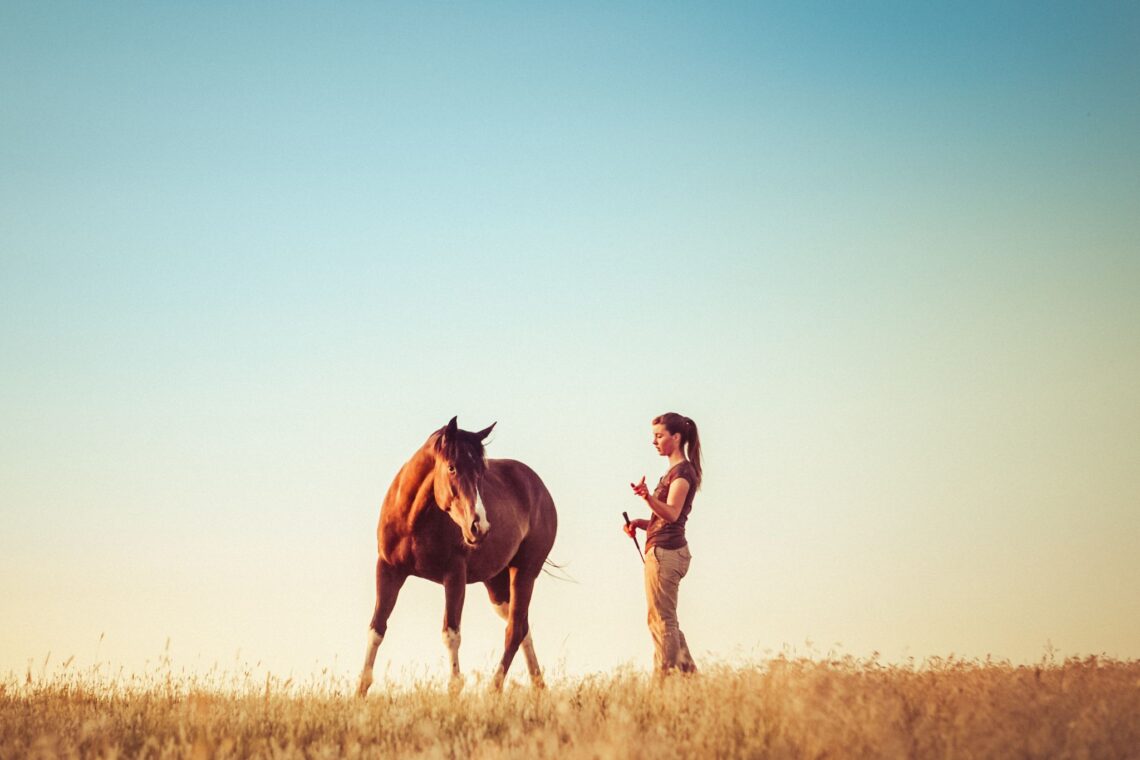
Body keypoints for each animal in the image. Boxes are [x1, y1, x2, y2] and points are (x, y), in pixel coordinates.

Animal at [357, 416, 558, 696]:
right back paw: (539, 687)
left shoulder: (454, 576)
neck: (412, 520)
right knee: (522, 627)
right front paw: (360, 692)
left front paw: (454, 691)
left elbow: (451, 633)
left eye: (481, 472)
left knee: (514, 630)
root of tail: (540, 488)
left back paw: (493, 691)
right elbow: (376, 629)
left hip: (525, 572)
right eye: (452, 467)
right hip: (496, 584)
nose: (479, 526)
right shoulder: (388, 570)